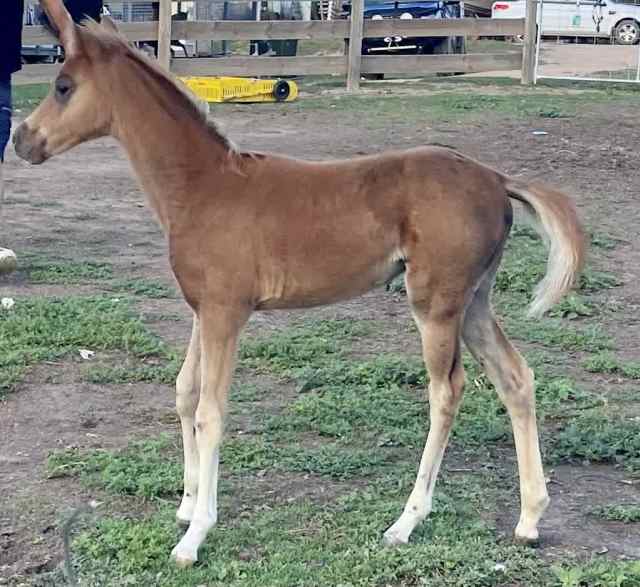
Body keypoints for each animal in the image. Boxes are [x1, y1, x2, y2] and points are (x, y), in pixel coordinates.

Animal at [14, 0, 585, 567]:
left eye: (63, 86)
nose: (20, 140)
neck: (201, 186)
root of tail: (496, 179)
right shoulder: (203, 309)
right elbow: (184, 393)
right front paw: (186, 502)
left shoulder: (226, 313)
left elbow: (210, 413)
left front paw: (195, 535)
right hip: (474, 301)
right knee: (516, 377)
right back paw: (529, 519)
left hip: (436, 303)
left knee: (446, 392)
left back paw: (405, 523)